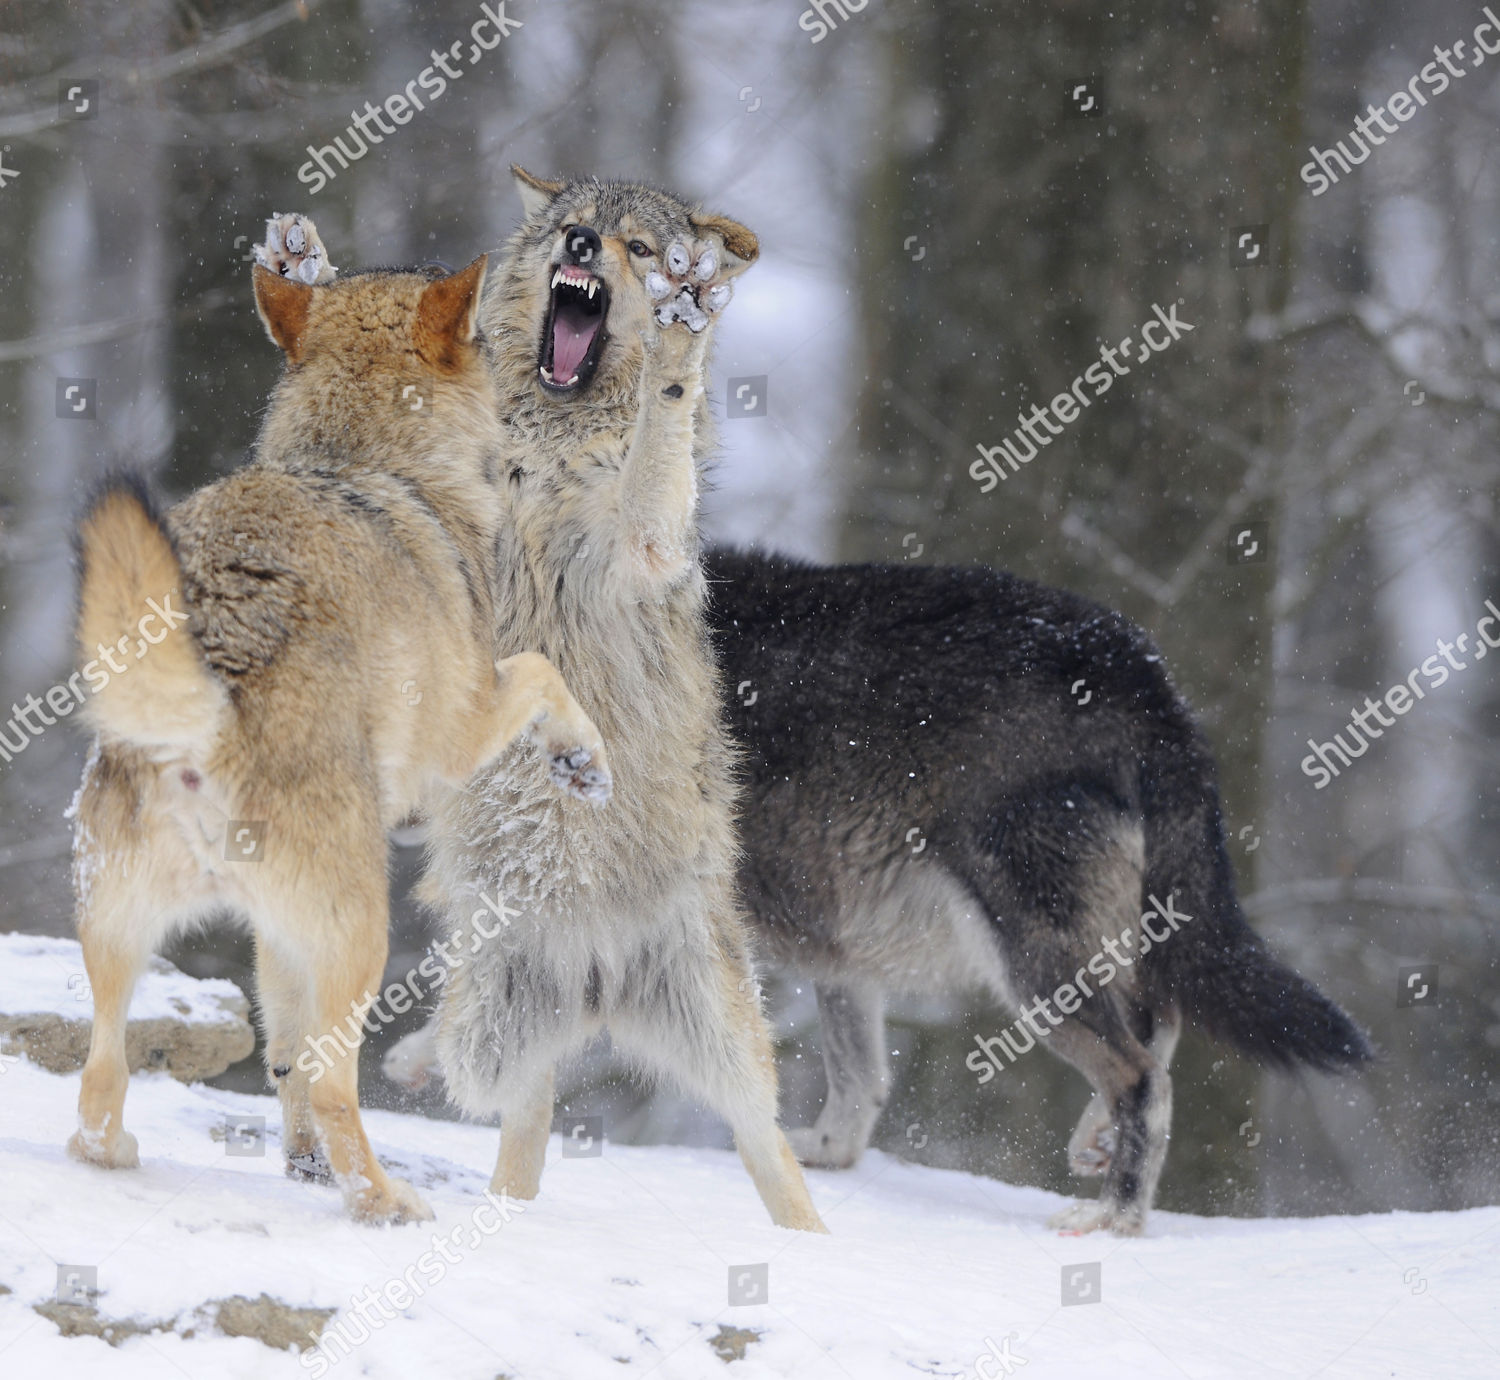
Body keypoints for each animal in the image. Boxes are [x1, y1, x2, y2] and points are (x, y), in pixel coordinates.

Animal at [67, 237, 612, 1225]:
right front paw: (583, 761)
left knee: (103, 1080)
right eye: (483, 333)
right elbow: (544, 674)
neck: (368, 463)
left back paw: (121, 1152)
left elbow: (281, 1064)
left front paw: (299, 1168)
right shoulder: (467, 723)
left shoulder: (272, 943)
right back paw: (387, 1205)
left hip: (122, 935)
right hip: (362, 937)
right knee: (333, 1086)